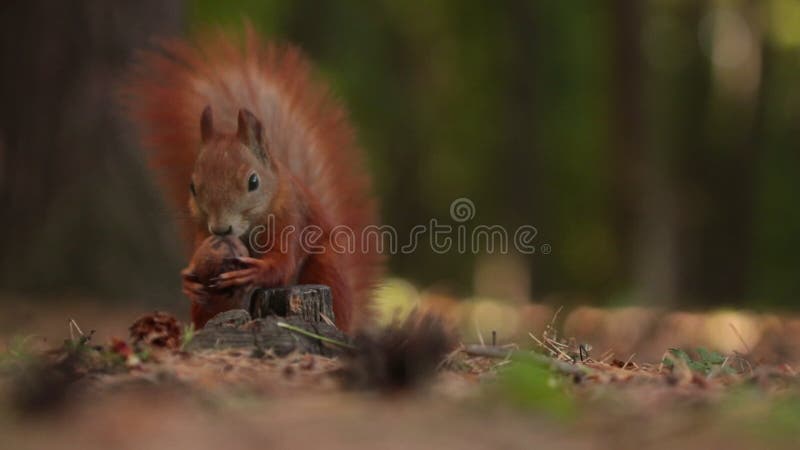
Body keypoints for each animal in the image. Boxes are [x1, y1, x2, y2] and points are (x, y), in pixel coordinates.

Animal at [123, 27, 383, 331]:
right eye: (192, 187)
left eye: (253, 182)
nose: (221, 229)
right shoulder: (202, 228)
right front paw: (187, 280)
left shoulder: (291, 217)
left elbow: (283, 263)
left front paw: (256, 272)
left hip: (328, 266)